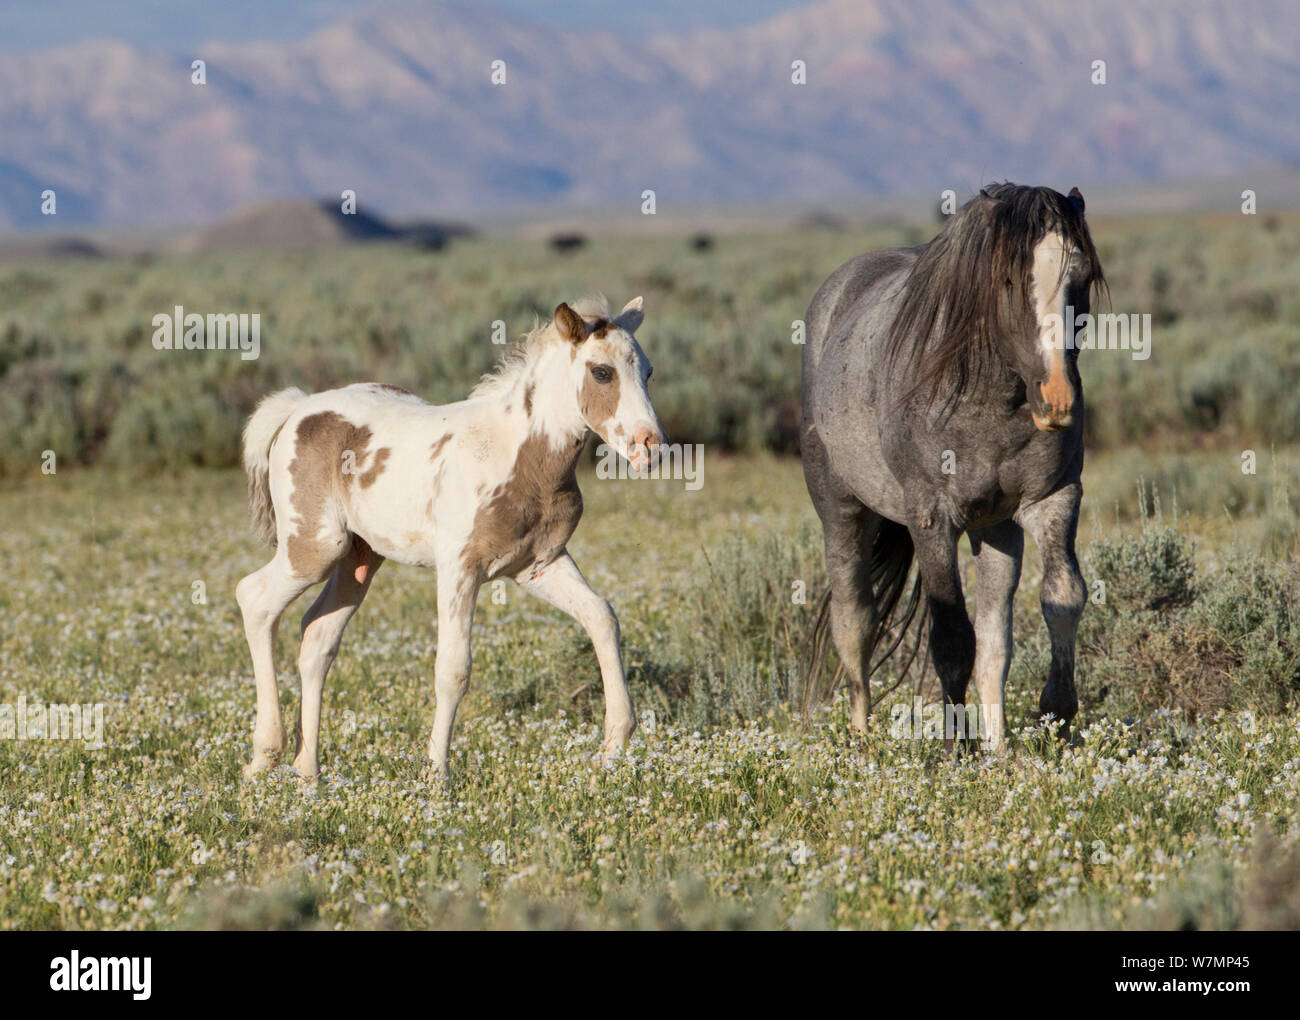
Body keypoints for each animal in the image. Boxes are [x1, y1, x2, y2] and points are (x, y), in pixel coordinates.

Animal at [235, 296, 666, 781]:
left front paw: (615, 747)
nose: (651, 446)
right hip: (314, 548)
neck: (517, 455)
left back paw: (308, 773)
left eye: (648, 372)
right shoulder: (460, 568)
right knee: (255, 599)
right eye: (602, 372)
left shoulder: (540, 565)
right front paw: (436, 776)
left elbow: (602, 617)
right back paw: (263, 757)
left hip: (359, 557)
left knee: (317, 636)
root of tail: (297, 409)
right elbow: (453, 669)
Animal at [801, 183, 1106, 749]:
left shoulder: (1053, 499)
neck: (988, 396)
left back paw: (999, 749)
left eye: (1081, 277)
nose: (1058, 402)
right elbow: (950, 639)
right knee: (855, 624)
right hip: (842, 510)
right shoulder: (932, 518)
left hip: (997, 531)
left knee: (994, 644)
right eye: (1007, 279)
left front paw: (1055, 711)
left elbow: (1061, 599)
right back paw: (859, 741)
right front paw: (955, 749)